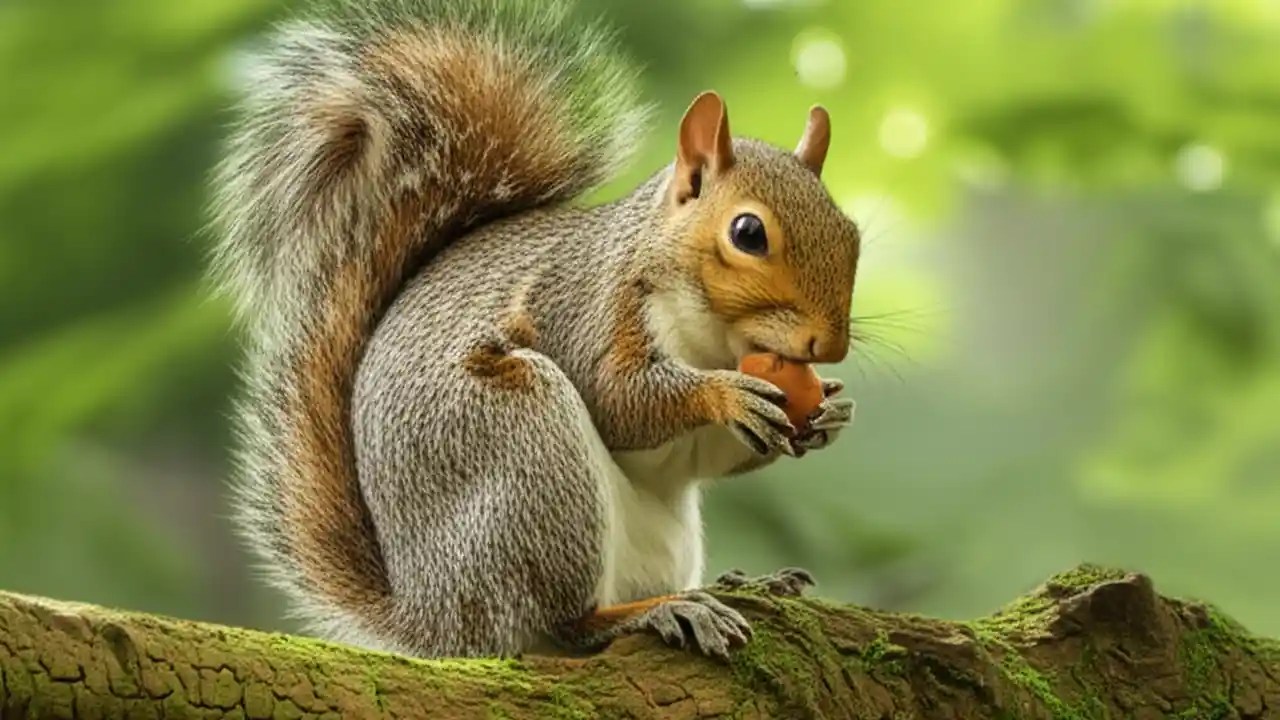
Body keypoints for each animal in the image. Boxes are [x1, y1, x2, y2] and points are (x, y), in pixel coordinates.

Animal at [210, 0, 860, 661]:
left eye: (852, 232)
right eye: (747, 233)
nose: (829, 347)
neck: (713, 337)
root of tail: (436, 620)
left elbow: (700, 456)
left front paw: (829, 413)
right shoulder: (586, 307)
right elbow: (620, 400)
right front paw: (725, 395)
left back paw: (743, 585)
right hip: (529, 458)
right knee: (562, 622)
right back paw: (657, 611)